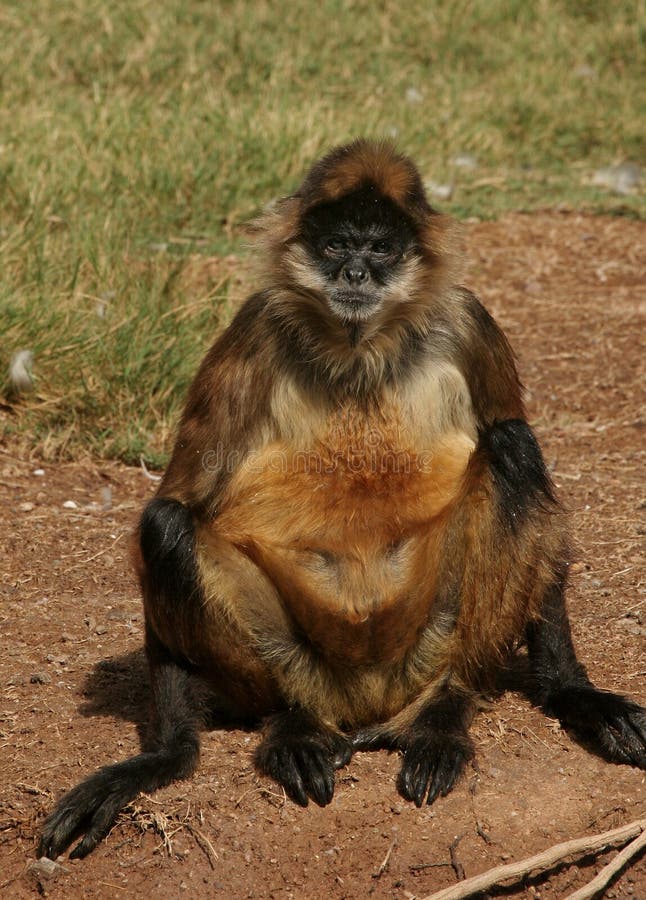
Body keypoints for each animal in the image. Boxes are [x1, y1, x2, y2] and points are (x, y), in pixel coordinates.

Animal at [40, 139, 646, 860]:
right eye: (335, 246)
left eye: (379, 248)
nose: (355, 272)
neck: (359, 348)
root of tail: (365, 702)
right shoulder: (254, 326)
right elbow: (175, 499)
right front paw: (160, 759)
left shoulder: (468, 318)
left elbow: (514, 440)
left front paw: (573, 694)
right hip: (299, 665)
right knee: (167, 525)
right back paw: (296, 728)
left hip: (432, 643)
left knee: (512, 447)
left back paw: (442, 714)